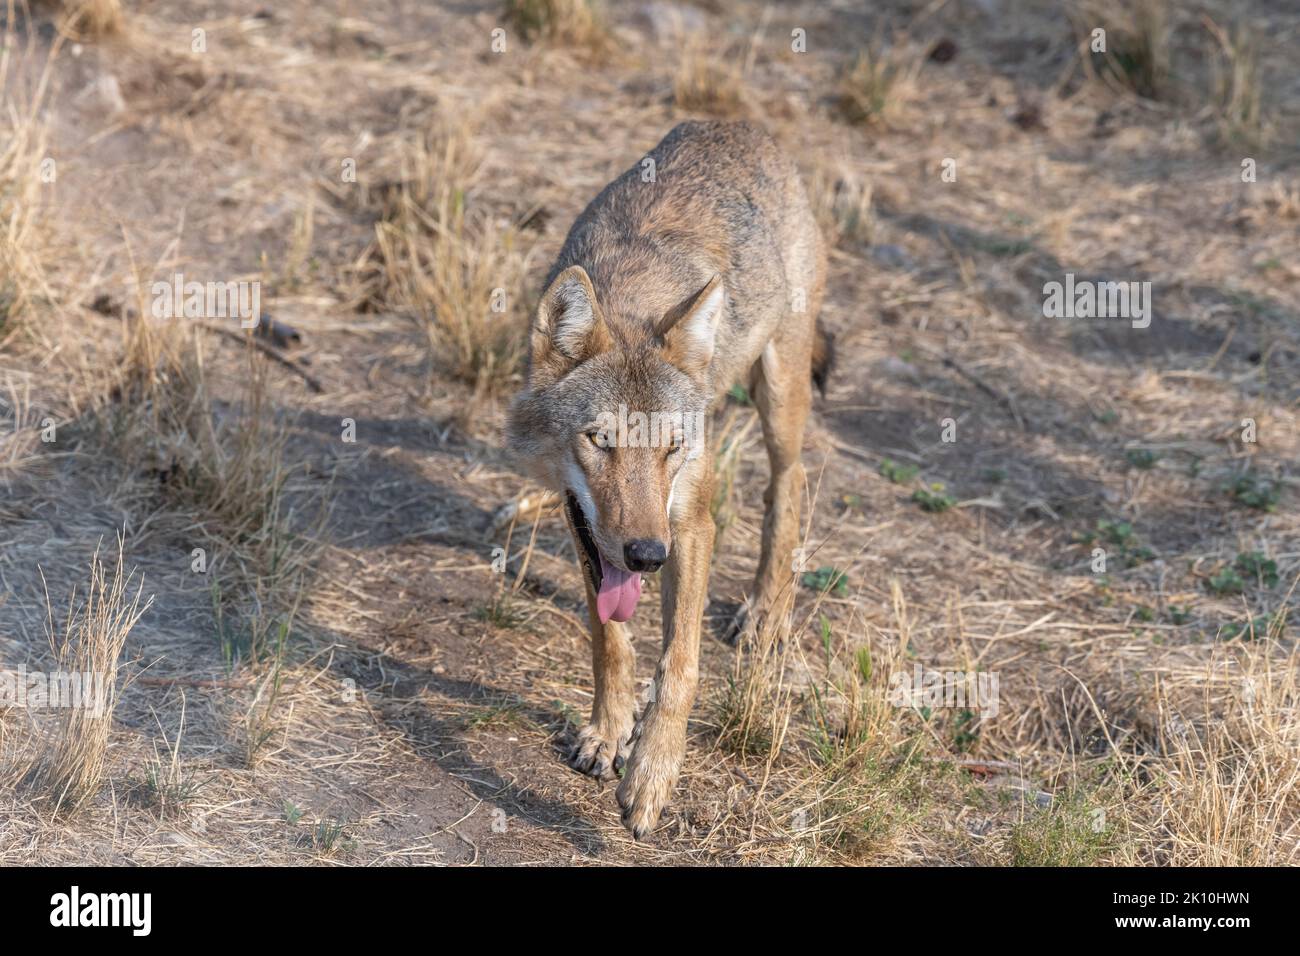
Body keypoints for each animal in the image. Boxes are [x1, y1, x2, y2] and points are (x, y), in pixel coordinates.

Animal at [507, 120, 829, 838]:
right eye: (600, 440)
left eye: (670, 448)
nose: (648, 556)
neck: (630, 298)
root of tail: (738, 123)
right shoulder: (585, 524)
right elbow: (610, 638)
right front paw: (608, 732)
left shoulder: (690, 524)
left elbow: (679, 661)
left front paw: (651, 775)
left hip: (780, 393)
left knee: (789, 482)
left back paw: (766, 611)